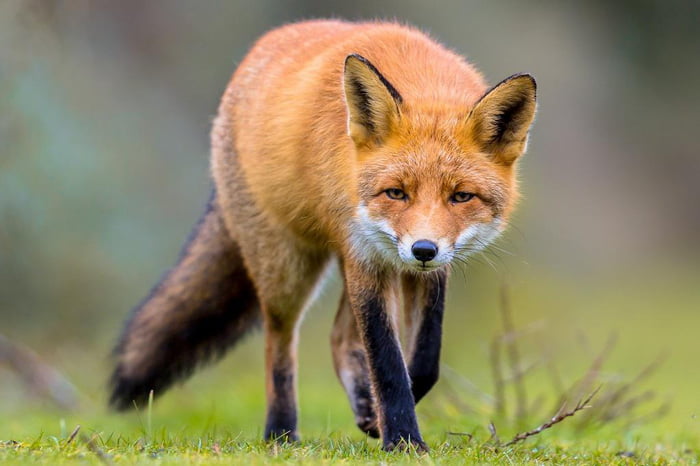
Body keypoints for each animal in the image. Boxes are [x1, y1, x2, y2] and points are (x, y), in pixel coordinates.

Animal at [109, 19, 537, 451]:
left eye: (461, 196)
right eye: (396, 193)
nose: (423, 249)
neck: (423, 81)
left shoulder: (424, 271)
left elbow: (425, 361)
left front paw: (382, 418)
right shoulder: (365, 256)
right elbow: (387, 363)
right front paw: (403, 440)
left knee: (338, 338)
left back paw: (360, 408)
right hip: (288, 268)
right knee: (279, 342)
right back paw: (281, 432)